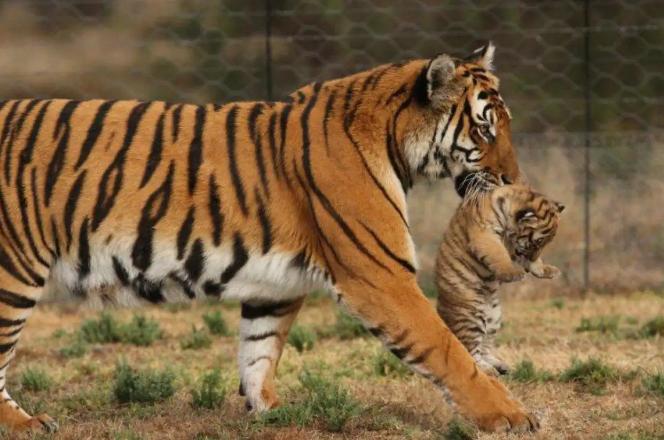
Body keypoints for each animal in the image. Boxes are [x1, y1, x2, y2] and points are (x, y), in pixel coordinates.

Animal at [0, 42, 538, 433]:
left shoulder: (275, 284)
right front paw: (511, 415)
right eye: (486, 132)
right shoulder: (380, 275)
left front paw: (268, 409)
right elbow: (446, 350)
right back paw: (27, 424)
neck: (394, 140)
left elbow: (260, 348)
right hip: (12, 269)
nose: (513, 179)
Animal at [436, 183, 564, 376]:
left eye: (544, 243)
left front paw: (547, 270)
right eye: (538, 242)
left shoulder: (515, 247)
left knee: (484, 347)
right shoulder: (485, 235)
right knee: (470, 351)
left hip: (493, 318)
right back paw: (488, 371)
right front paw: (514, 273)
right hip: (470, 317)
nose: (533, 256)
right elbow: (498, 255)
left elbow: (527, 260)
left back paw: (501, 366)